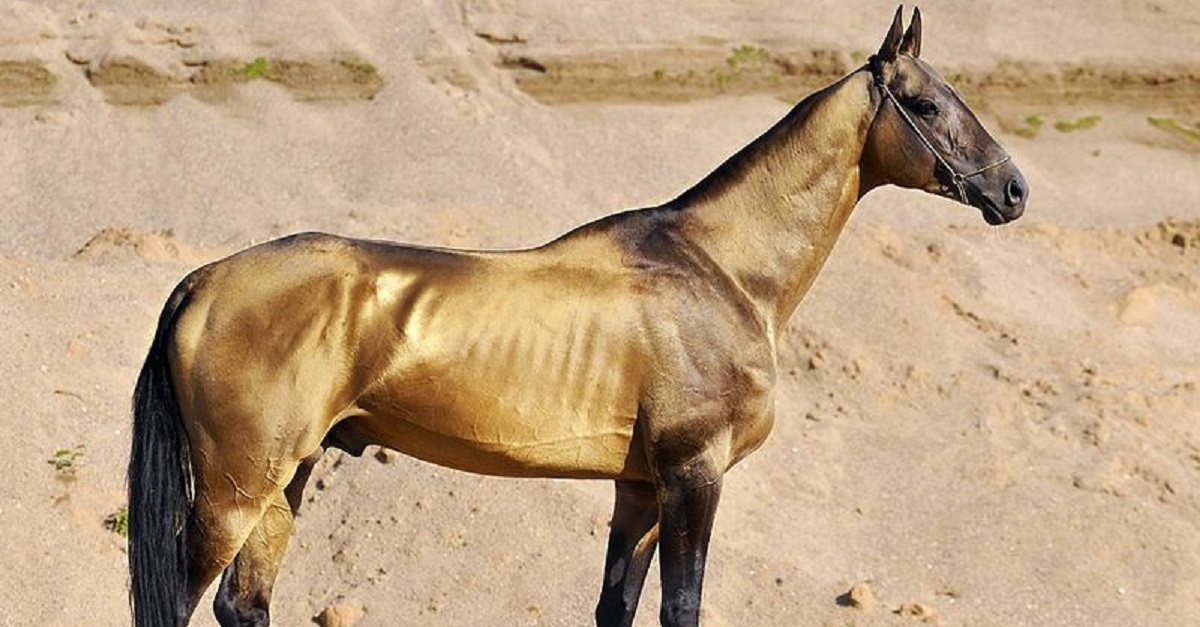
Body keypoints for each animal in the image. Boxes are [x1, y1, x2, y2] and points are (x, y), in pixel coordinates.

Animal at [128, 6, 1027, 627]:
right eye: (925, 104)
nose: (1012, 190)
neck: (721, 269)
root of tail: (203, 280)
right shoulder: (693, 474)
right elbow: (680, 606)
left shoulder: (640, 487)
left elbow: (616, 606)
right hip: (233, 489)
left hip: (288, 474)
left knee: (243, 604)